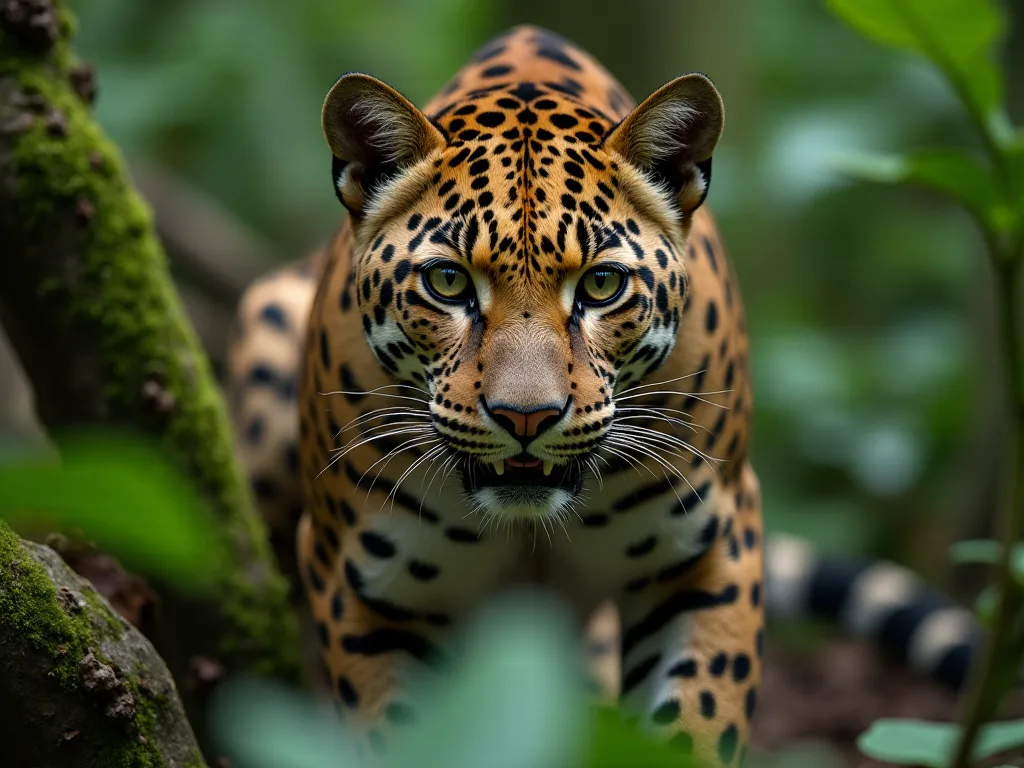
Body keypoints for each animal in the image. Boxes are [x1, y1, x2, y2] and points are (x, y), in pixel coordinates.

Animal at [226, 25, 984, 767]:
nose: (525, 417)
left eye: (600, 285)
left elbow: (694, 726)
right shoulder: (365, 590)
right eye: (447, 282)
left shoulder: (711, 549)